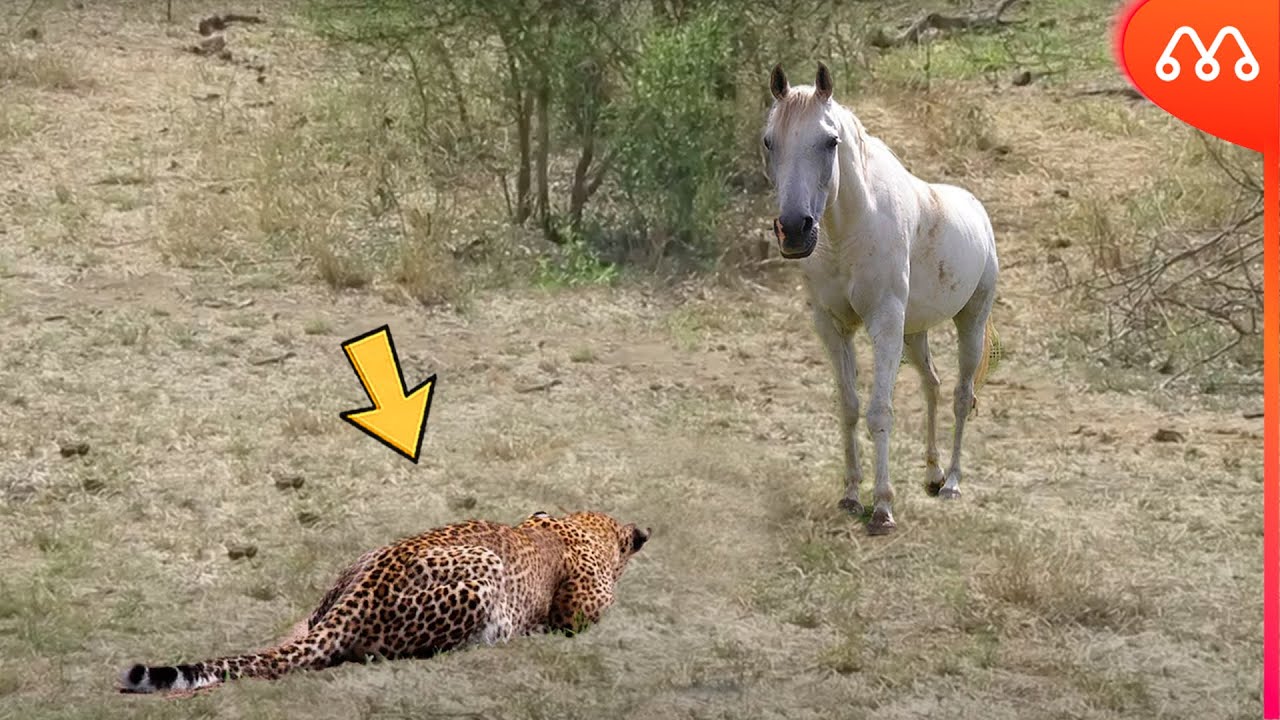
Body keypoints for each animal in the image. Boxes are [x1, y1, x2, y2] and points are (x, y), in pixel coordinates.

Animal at [762, 63, 1000, 535]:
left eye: (830, 141)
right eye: (769, 141)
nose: (794, 230)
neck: (848, 231)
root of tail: (977, 210)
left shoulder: (884, 324)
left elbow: (879, 412)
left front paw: (883, 507)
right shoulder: (832, 326)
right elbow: (850, 407)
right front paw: (852, 495)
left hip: (971, 321)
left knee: (961, 395)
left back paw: (953, 483)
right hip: (914, 333)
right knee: (933, 385)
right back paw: (932, 475)